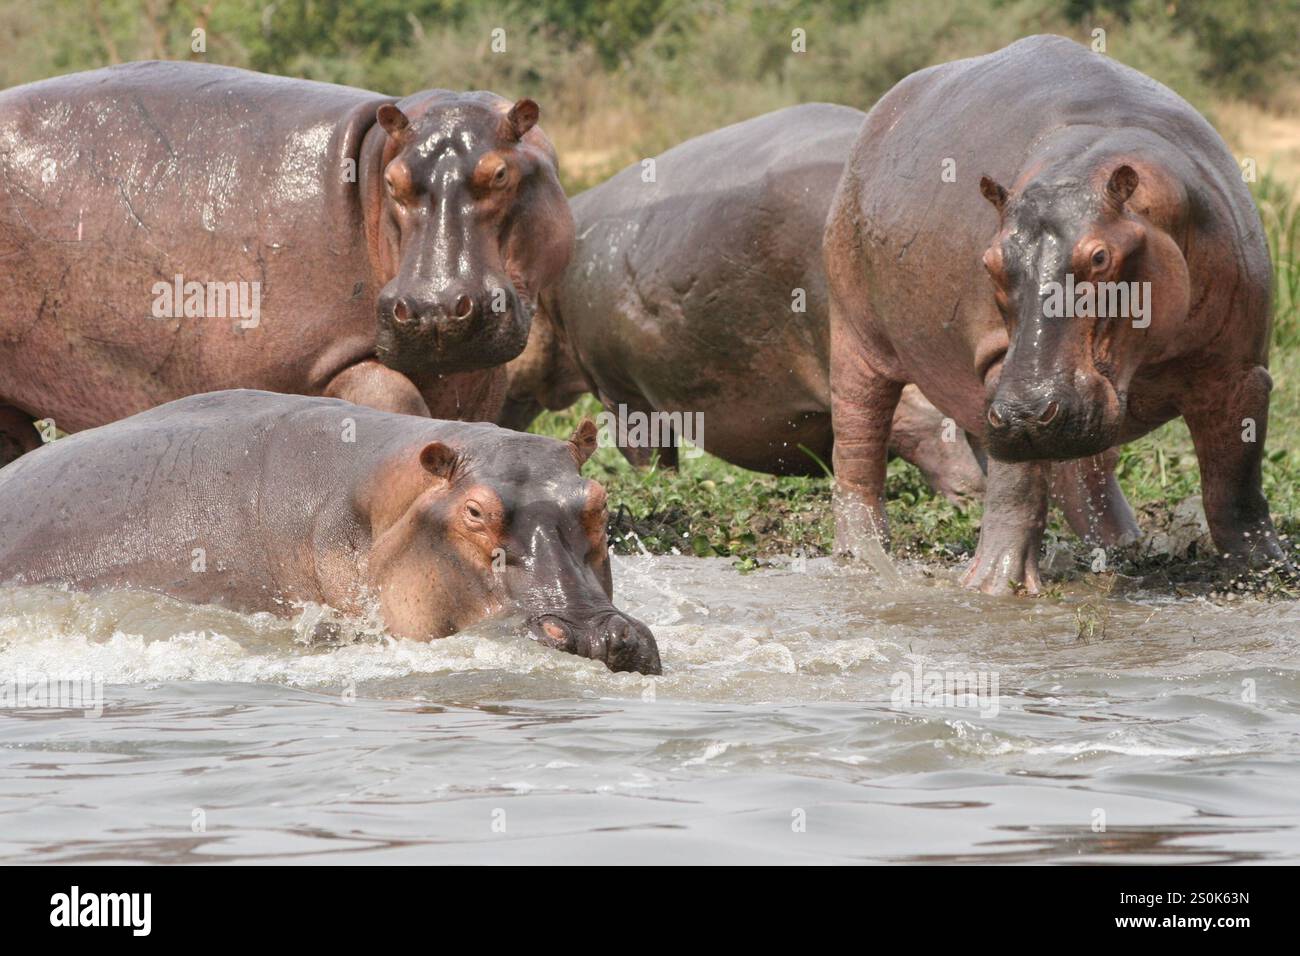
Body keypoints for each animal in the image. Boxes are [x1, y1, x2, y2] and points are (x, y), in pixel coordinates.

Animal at [0, 61, 574, 464]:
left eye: (500, 174)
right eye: (394, 183)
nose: (432, 307)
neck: (373, 163)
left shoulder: (479, 380)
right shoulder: (331, 366)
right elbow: (399, 410)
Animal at [824, 35, 1285, 593]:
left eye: (1101, 257)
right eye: (989, 260)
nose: (1026, 409)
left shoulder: (1242, 370)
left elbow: (1235, 483)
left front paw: (1264, 571)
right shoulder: (999, 372)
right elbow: (1016, 482)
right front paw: (992, 588)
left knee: (1084, 473)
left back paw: (1120, 547)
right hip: (855, 336)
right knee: (858, 443)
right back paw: (864, 558)